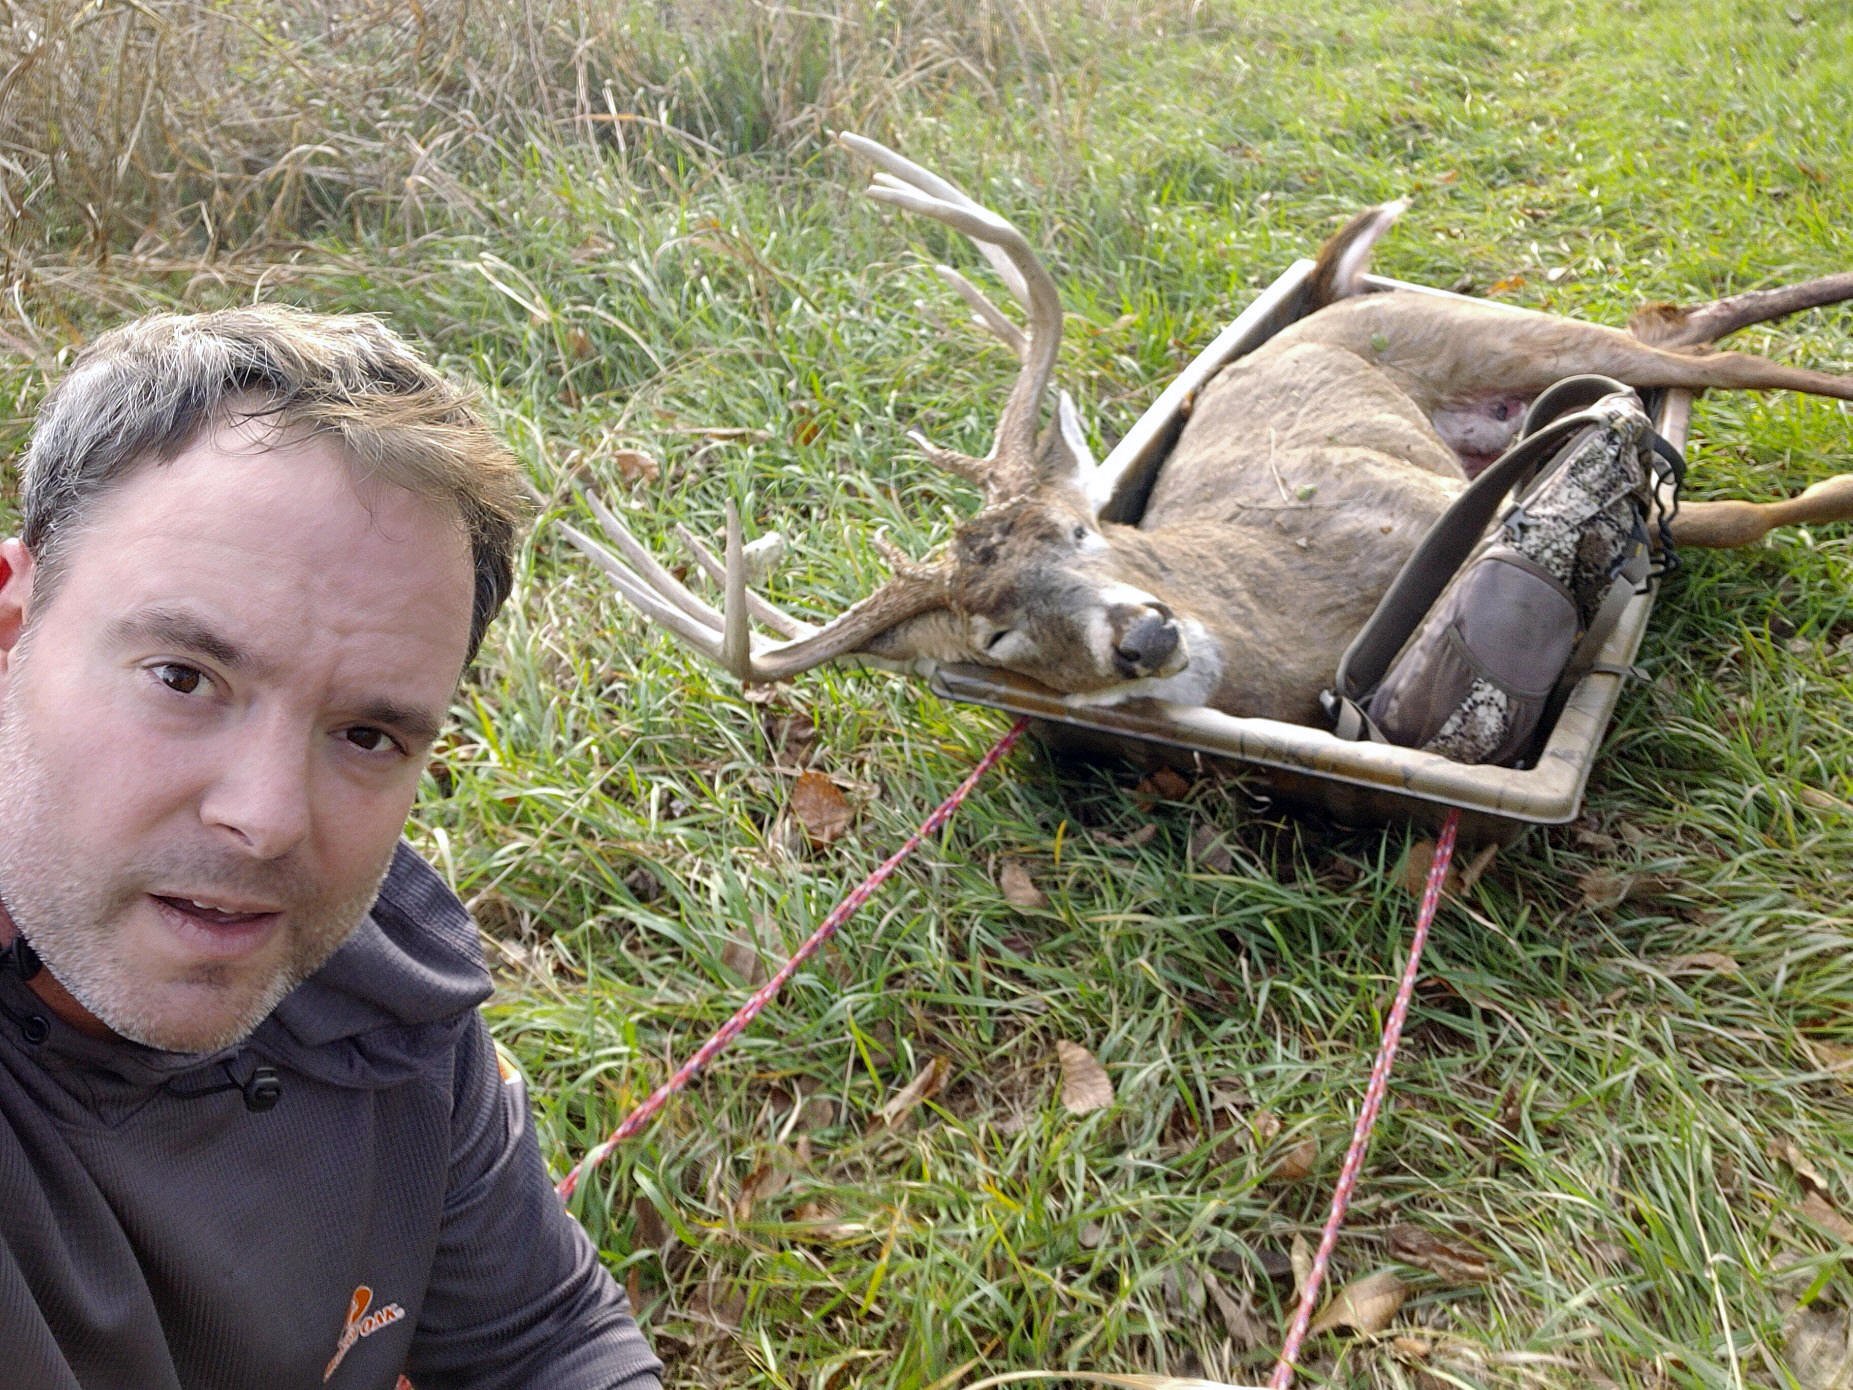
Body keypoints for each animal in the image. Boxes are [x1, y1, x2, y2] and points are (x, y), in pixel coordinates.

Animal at [563, 133, 1853, 730]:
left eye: (1077, 534)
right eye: (992, 638)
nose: (1141, 636)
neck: (1287, 630)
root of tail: (1338, 299)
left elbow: (1751, 510)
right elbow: (1739, 514)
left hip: (1497, 338)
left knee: (1703, 346)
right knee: (1682, 320)